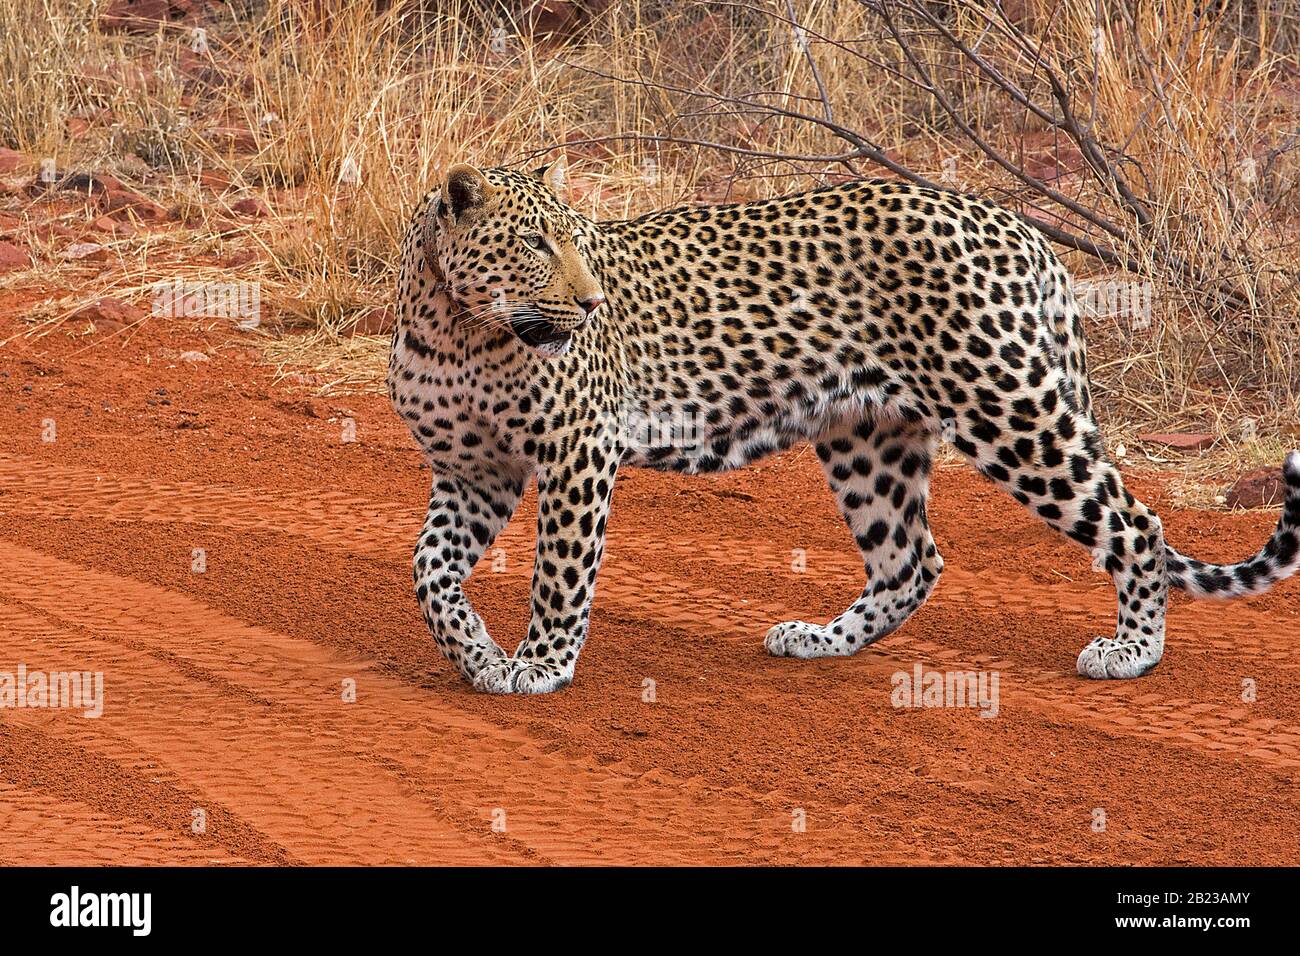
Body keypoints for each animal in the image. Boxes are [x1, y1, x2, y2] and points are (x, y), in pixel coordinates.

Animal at [387, 157, 1300, 695]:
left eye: (577, 242)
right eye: (535, 245)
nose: (591, 304)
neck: (456, 325)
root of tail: (1019, 228)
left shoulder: (577, 451)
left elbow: (559, 572)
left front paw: (540, 664)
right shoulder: (474, 473)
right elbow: (428, 570)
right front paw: (474, 655)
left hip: (1003, 404)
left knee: (1134, 521)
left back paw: (1133, 652)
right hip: (869, 435)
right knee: (911, 558)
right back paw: (823, 639)